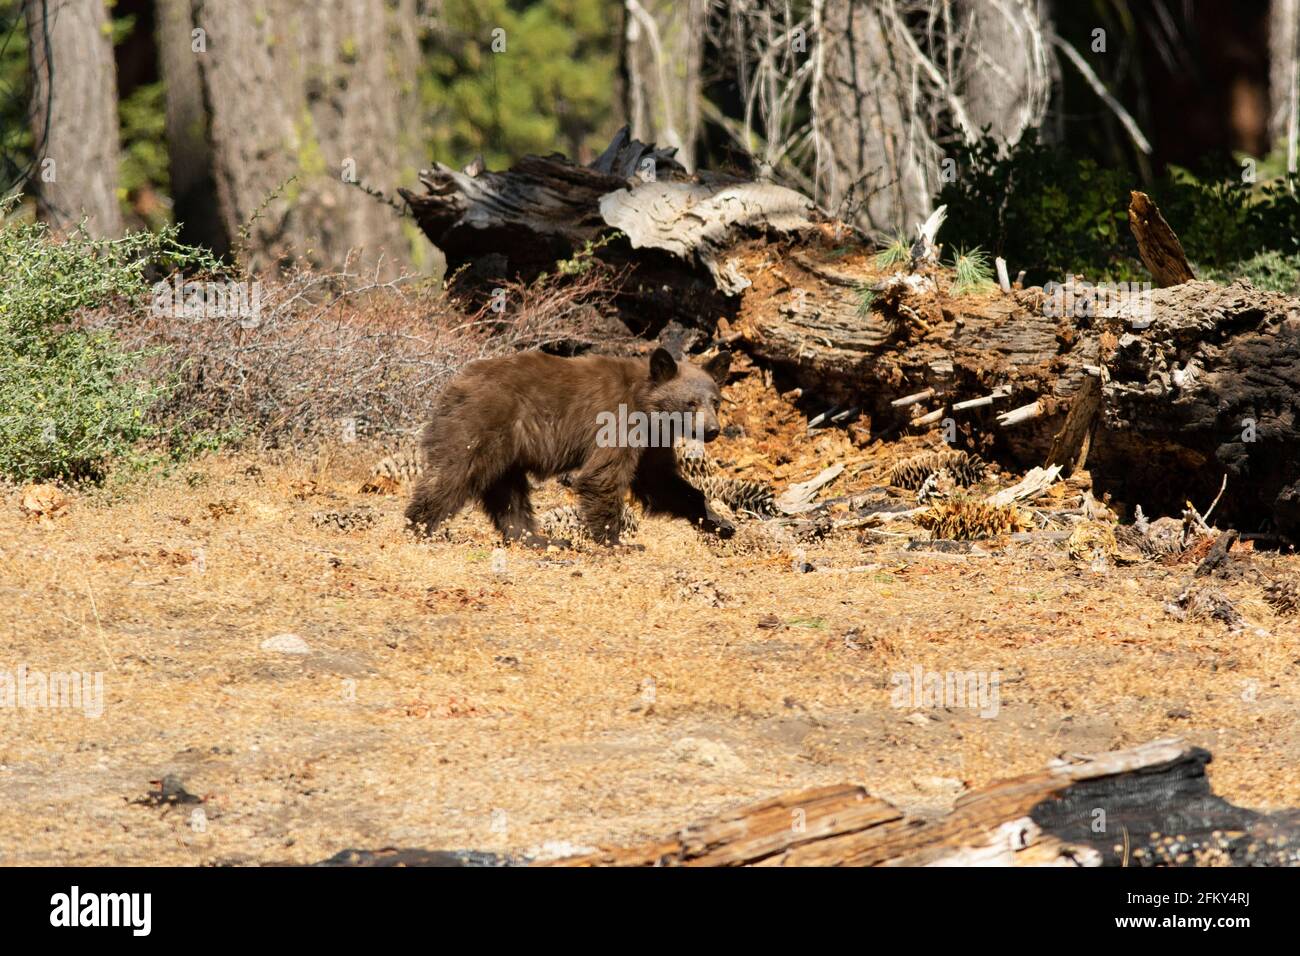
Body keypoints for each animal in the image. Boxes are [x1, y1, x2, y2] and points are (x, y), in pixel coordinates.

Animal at [405, 347, 736, 548]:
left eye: (715, 401)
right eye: (690, 403)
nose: (712, 430)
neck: (647, 407)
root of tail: (453, 384)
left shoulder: (652, 442)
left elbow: (661, 482)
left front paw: (719, 522)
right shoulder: (618, 422)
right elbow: (602, 477)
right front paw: (618, 542)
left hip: (507, 451)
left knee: (508, 495)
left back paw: (536, 539)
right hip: (480, 425)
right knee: (452, 474)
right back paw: (418, 527)